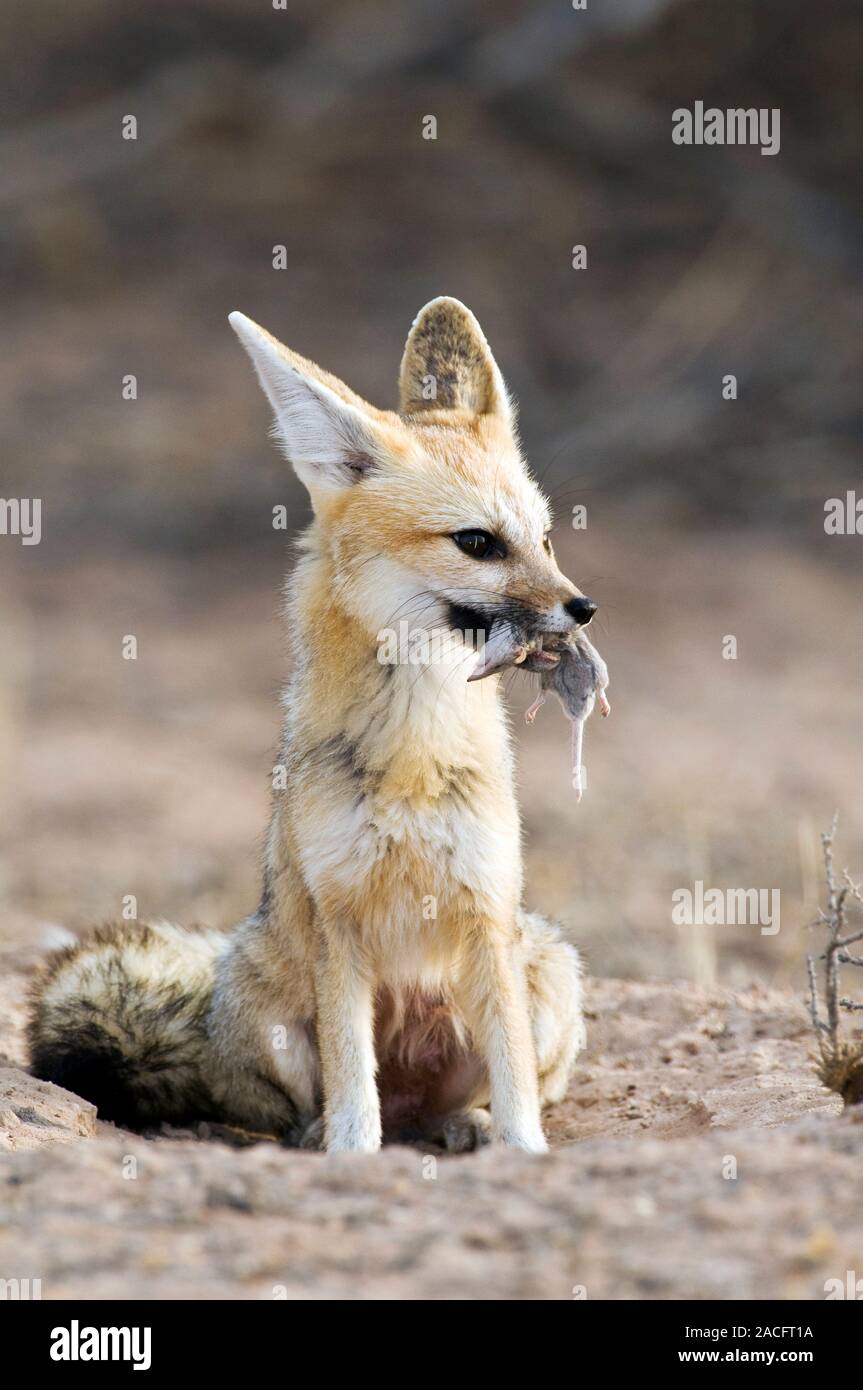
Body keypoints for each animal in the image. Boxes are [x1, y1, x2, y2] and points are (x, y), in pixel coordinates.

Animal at [28, 297, 602, 1154]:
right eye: (477, 542)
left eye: (545, 538)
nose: (582, 609)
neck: (414, 753)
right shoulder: (340, 923)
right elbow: (352, 1086)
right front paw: (351, 1155)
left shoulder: (485, 911)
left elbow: (514, 1085)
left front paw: (523, 1152)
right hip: (264, 1007)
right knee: (322, 1104)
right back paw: (316, 1136)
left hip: (548, 976)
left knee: (461, 1099)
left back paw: (461, 1124)